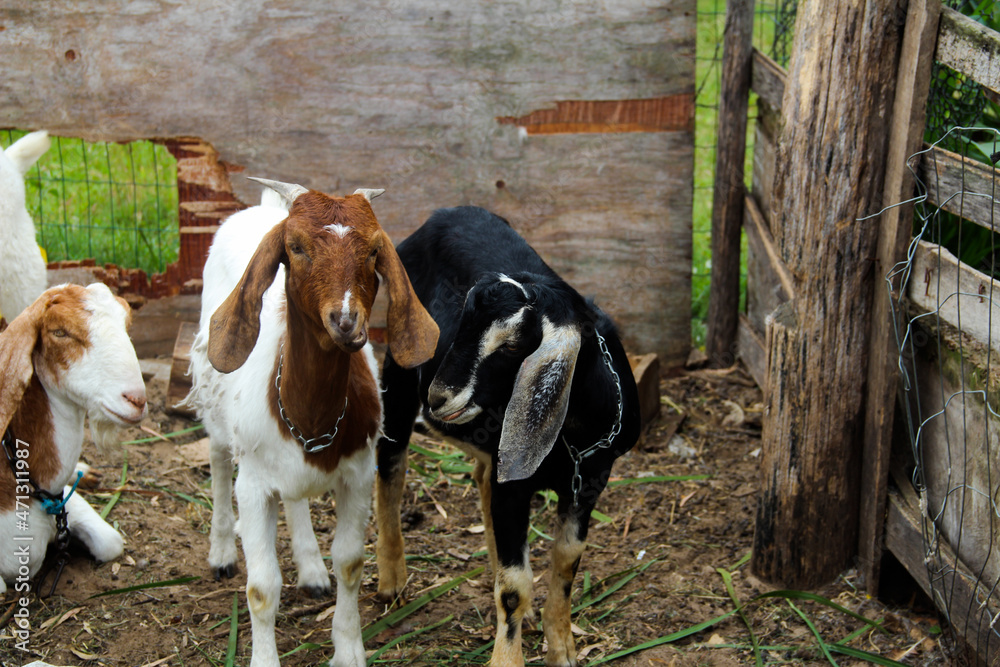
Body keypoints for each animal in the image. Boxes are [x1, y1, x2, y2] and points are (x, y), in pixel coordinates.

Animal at [186, 179, 438, 667]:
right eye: (296, 247)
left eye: (374, 251)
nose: (345, 320)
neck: (307, 414)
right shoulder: (253, 486)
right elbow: (262, 588)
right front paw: (264, 659)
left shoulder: (358, 476)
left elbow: (351, 564)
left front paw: (349, 650)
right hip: (215, 398)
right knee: (219, 459)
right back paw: (221, 551)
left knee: (295, 498)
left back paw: (311, 569)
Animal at [375, 206, 641, 667]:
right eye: (461, 322)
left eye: (513, 347)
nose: (437, 397)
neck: (571, 439)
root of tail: (441, 214)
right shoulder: (516, 489)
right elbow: (515, 586)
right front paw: (507, 657)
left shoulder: (591, 480)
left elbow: (567, 562)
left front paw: (562, 648)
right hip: (398, 372)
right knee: (389, 463)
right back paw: (392, 580)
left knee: (481, 478)